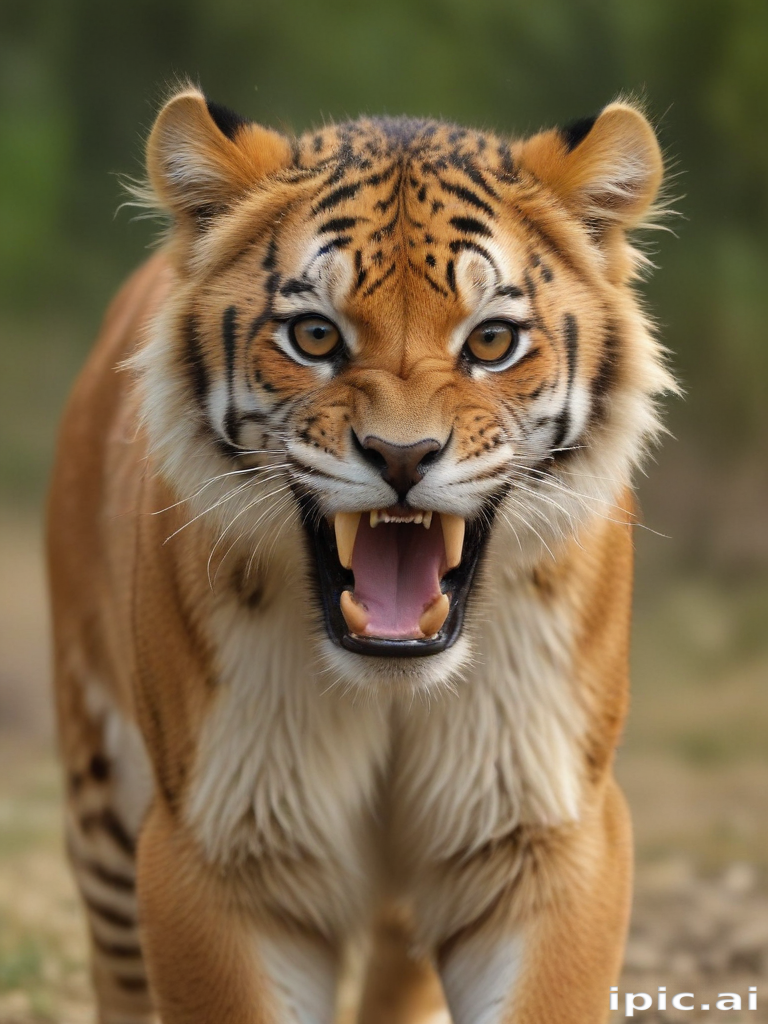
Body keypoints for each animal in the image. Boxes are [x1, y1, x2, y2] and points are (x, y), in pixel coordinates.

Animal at [47, 85, 673, 1024]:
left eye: (491, 342)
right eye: (314, 336)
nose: (403, 457)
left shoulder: (546, 835)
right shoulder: (216, 850)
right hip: (104, 802)